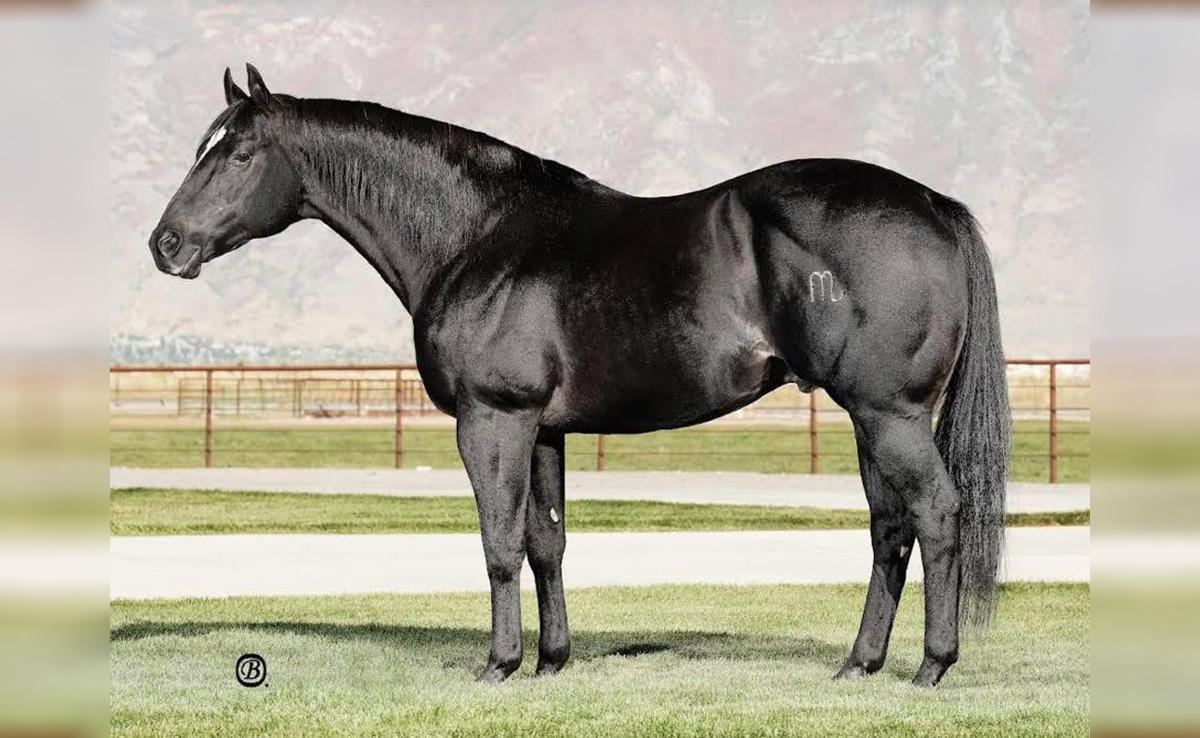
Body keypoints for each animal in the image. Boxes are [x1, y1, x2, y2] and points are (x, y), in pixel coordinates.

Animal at [149, 65, 1010, 687]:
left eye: (238, 153)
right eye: (201, 148)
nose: (166, 245)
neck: (477, 234)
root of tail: (935, 204)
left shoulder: (491, 418)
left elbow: (499, 542)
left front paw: (498, 665)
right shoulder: (542, 430)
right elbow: (547, 543)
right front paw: (551, 662)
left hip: (890, 413)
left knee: (936, 515)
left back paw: (931, 668)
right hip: (869, 416)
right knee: (889, 528)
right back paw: (860, 665)